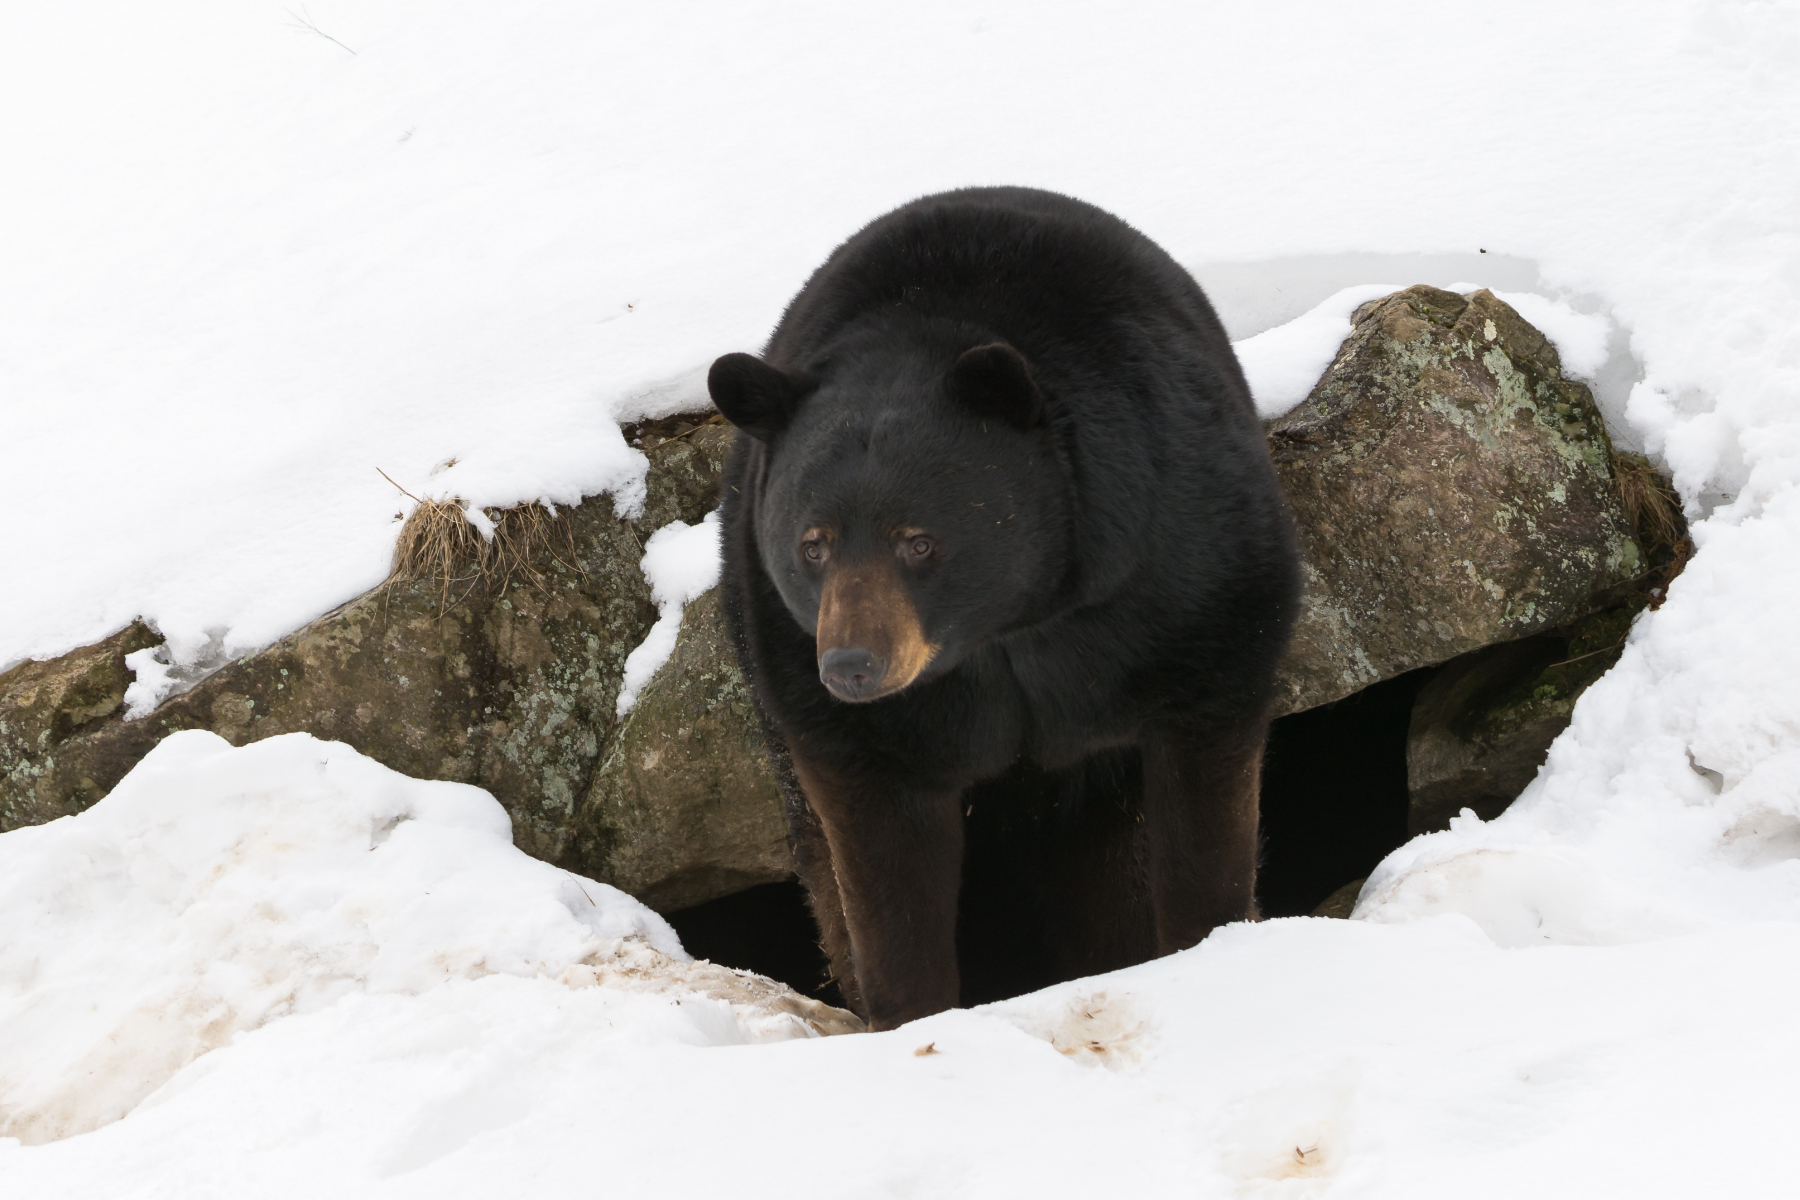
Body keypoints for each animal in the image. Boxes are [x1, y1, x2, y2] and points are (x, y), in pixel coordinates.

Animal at [708, 187, 1301, 1031]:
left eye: (918, 541)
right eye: (812, 545)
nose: (853, 665)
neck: (1007, 630)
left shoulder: (1178, 570)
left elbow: (1206, 758)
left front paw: (1214, 950)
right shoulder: (814, 675)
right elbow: (882, 855)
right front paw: (911, 1013)